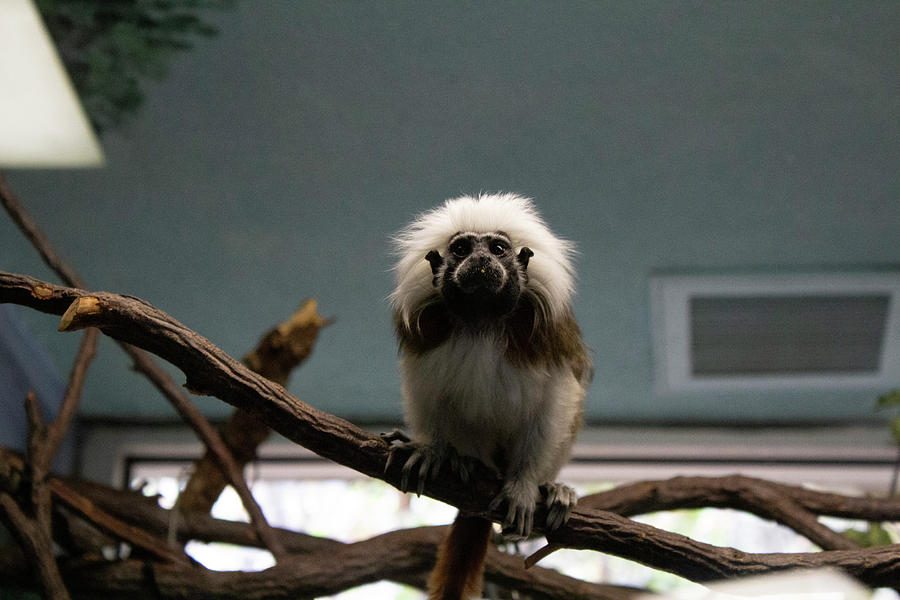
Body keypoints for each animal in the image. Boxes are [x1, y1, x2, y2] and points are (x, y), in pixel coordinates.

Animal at [387, 193, 592, 600]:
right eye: (462, 248)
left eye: (498, 249)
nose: (481, 260)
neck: (481, 321)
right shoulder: (429, 332)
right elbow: (425, 391)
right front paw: (430, 449)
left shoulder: (546, 336)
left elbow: (555, 401)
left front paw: (525, 486)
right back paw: (465, 462)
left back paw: (553, 488)